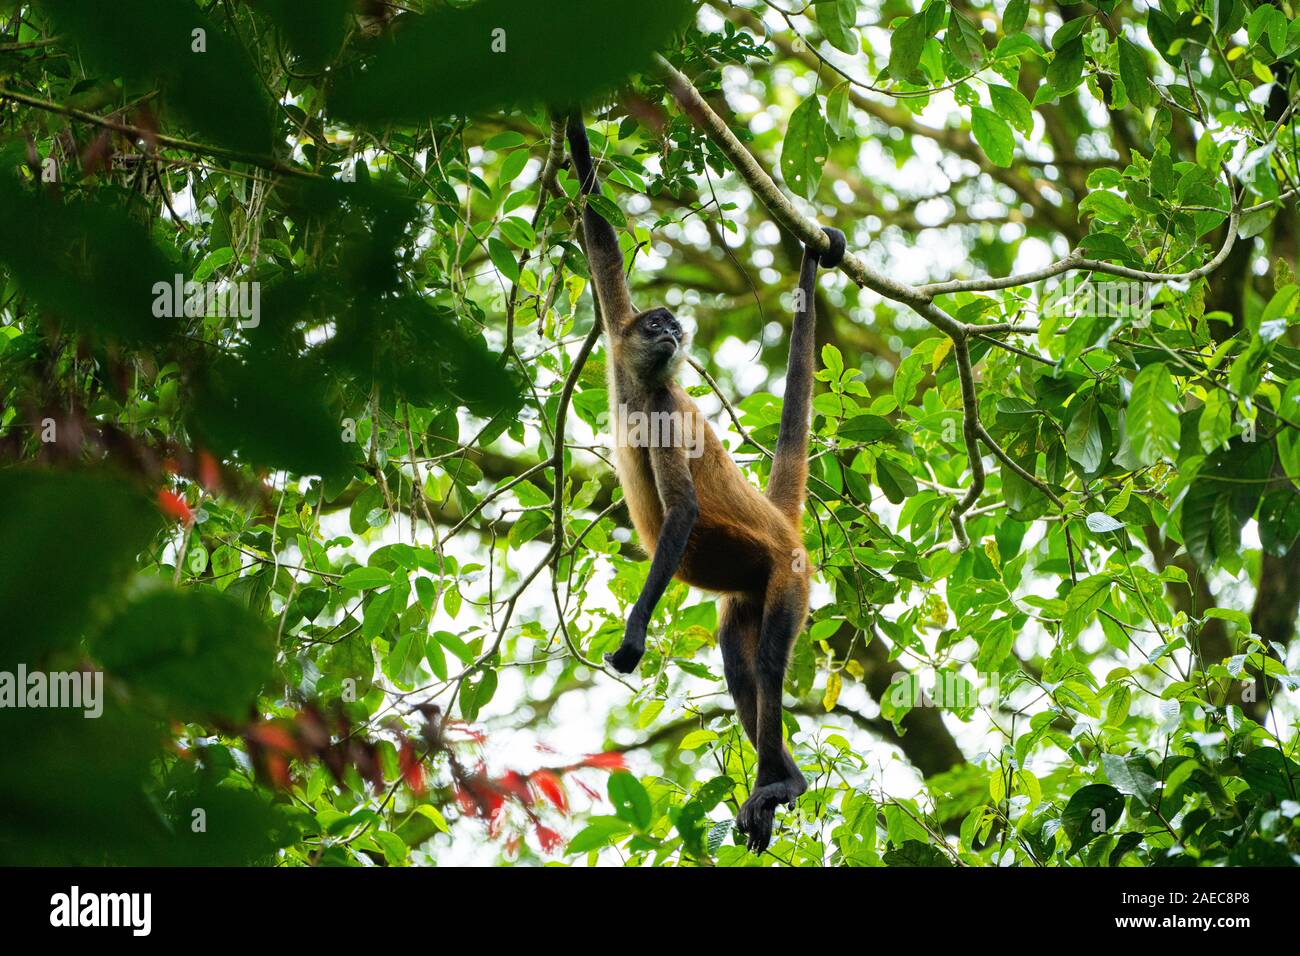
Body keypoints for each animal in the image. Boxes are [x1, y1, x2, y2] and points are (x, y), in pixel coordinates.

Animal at [565, 113, 846, 854]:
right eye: (657, 323)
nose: (673, 331)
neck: (638, 389)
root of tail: (783, 523)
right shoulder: (617, 335)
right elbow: (597, 227)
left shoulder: (665, 408)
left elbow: (684, 512)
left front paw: (634, 635)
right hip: (744, 598)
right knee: (741, 670)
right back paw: (784, 779)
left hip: (788, 574)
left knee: (770, 666)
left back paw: (780, 781)